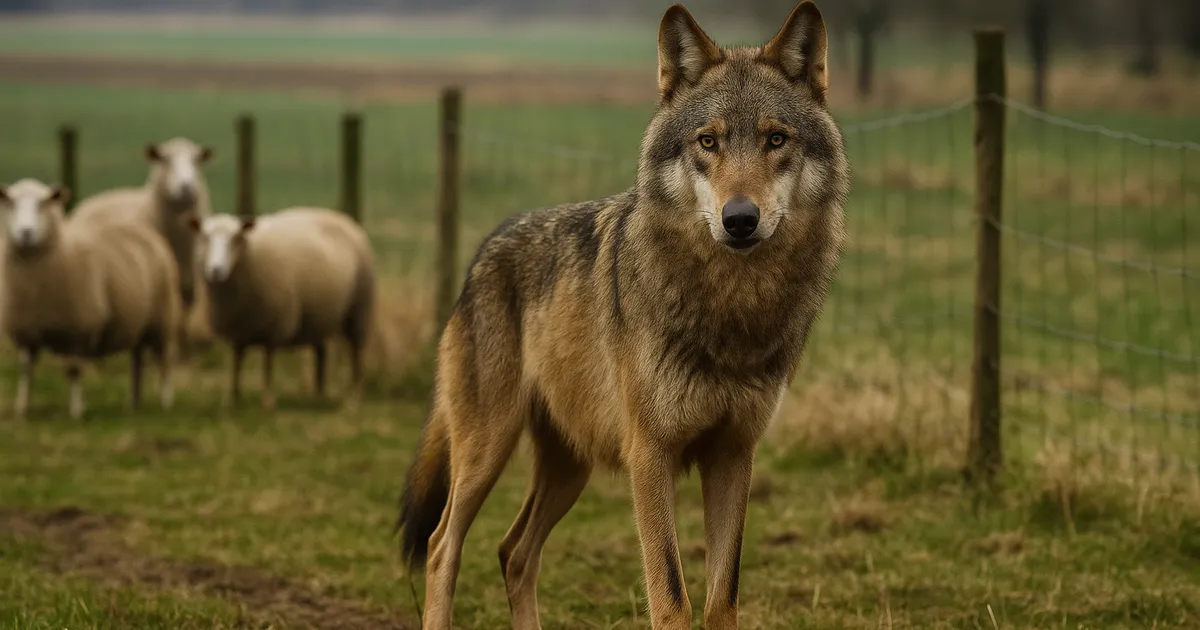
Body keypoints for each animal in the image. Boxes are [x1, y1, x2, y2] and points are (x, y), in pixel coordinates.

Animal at [395, 2, 849, 628]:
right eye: (708, 142)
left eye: (776, 138)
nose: (739, 219)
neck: (731, 307)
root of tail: (485, 249)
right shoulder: (650, 456)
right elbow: (672, 598)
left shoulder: (734, 454)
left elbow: (721, 599)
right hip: (487, 451)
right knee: (444, 545)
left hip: (570, 468)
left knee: (513, 552)